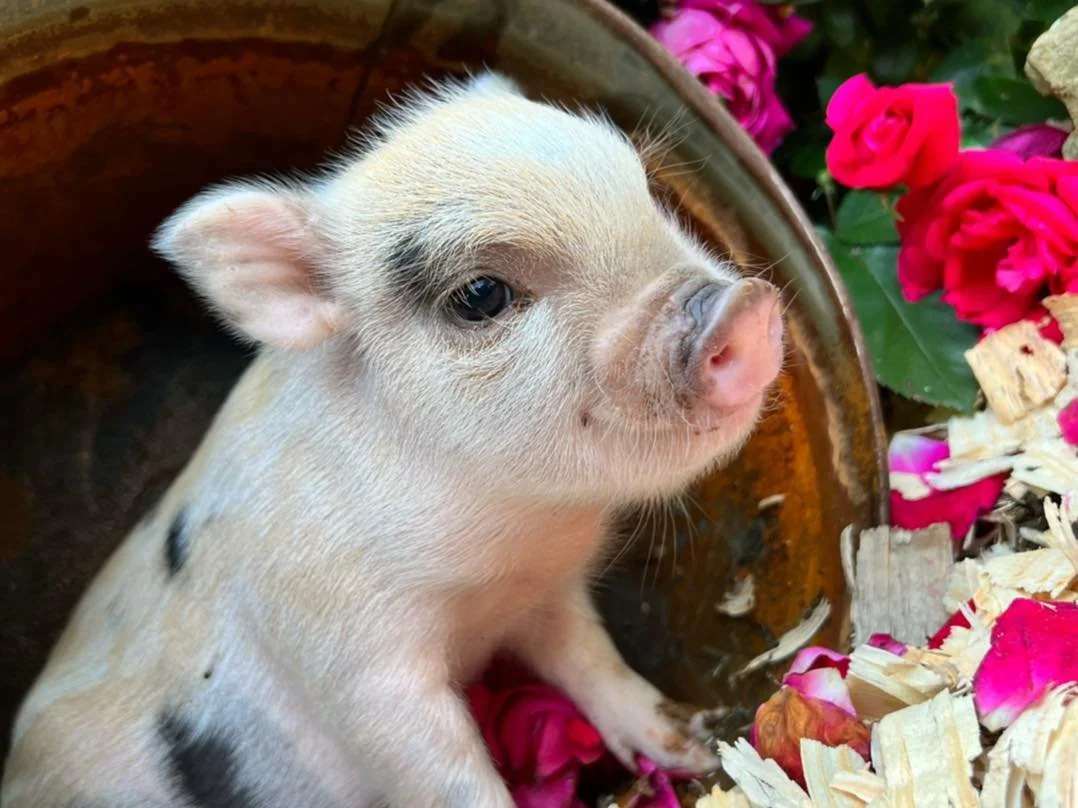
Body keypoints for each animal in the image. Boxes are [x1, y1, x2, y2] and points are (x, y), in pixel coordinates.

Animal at [1, 73, 784, 808]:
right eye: (480, 295)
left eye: (646, 193)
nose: (743, 308)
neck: (508, 548)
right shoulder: (351, 656)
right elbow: (442, 772)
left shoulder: (549, 592)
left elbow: (591, 659)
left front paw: (698, 744)